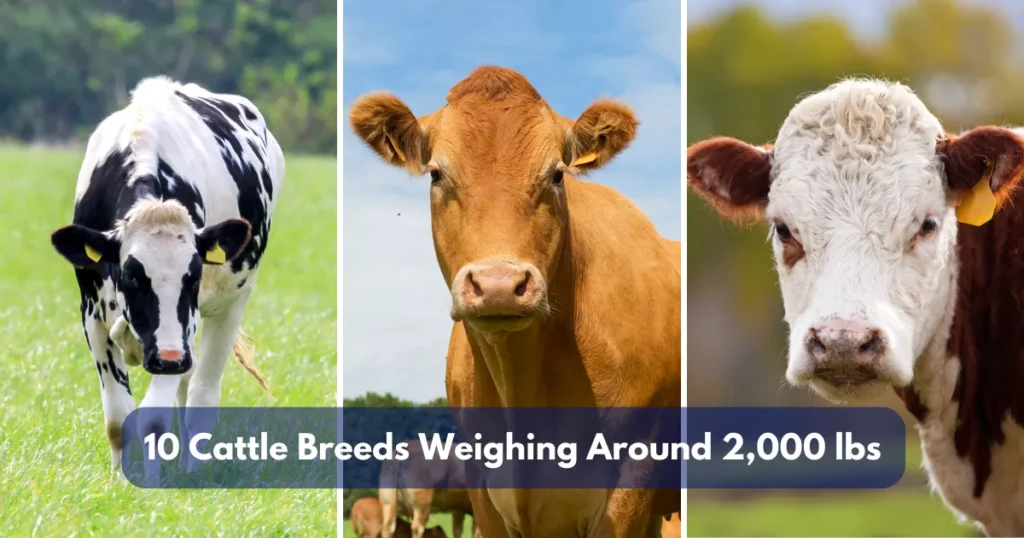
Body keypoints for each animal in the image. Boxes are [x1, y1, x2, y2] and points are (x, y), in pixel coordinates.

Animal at [50, 76, 284, 469]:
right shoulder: (92, 316)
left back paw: (194, 469)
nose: (169, 358)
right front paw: (120, 477)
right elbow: (118, 420)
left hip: (232, 301)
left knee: (202, 393)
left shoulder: (183, 327)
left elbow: (154, 420)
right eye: (132, 276)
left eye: (193, 276)